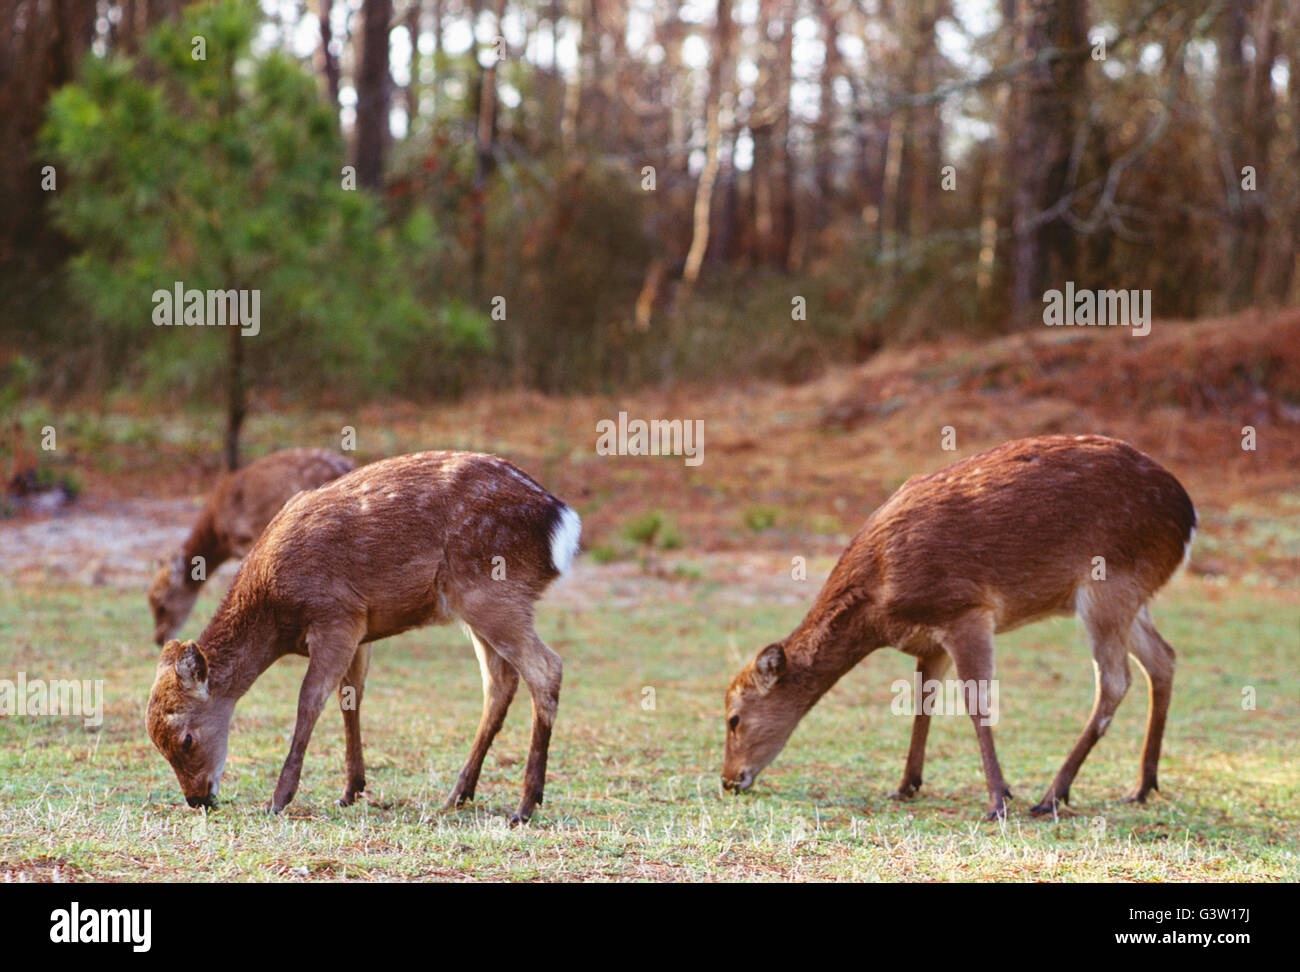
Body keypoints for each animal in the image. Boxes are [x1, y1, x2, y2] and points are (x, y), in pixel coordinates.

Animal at [722, 435, 1196, 820]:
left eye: (733, 719)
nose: (728, 780)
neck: (879, 604)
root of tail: (1189, 518)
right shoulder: (928, 641)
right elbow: (921, 703)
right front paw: (906, 785)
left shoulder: (965, 609)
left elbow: (976, 701)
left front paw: (998, 800)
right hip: (1133, 595)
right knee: (1164, 658)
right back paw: (1142, 786)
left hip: (1106, 586)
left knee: (1115, 680)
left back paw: (1052, 796)